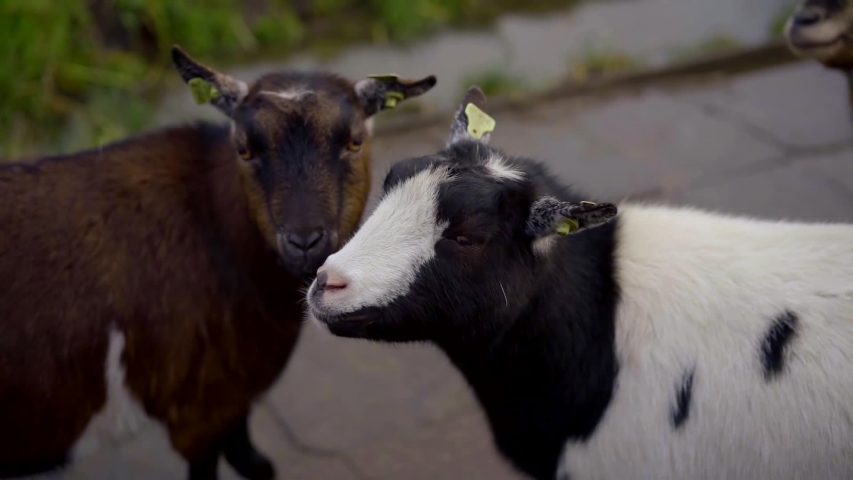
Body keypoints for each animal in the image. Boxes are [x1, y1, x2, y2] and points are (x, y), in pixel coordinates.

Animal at [0, 45, 436, 480]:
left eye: (355, 142)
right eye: (243, 149)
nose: (304, 241)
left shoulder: (231, 394)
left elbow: (249, 453)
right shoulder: (197, 414)